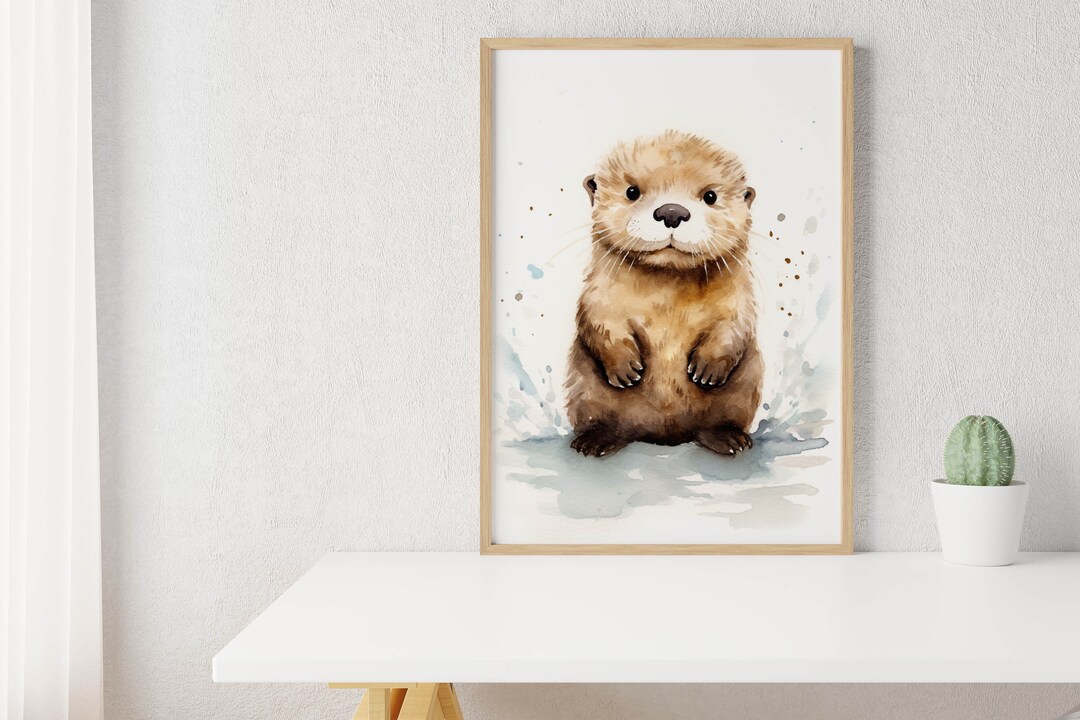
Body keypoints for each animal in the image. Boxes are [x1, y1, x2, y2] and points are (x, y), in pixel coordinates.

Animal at [565, 130, 764, 458]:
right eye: (632, 191)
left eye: (710, 196)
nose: (672, 211)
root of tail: (664, 436)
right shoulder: (597, 292)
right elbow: (598, 320)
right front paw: (626, 369)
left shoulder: (741, 297)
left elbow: (735, 325)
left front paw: (706, 370)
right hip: (586, 392)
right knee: (605, 422)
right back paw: (595, 441)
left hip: (744, 389)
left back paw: (728, 439)